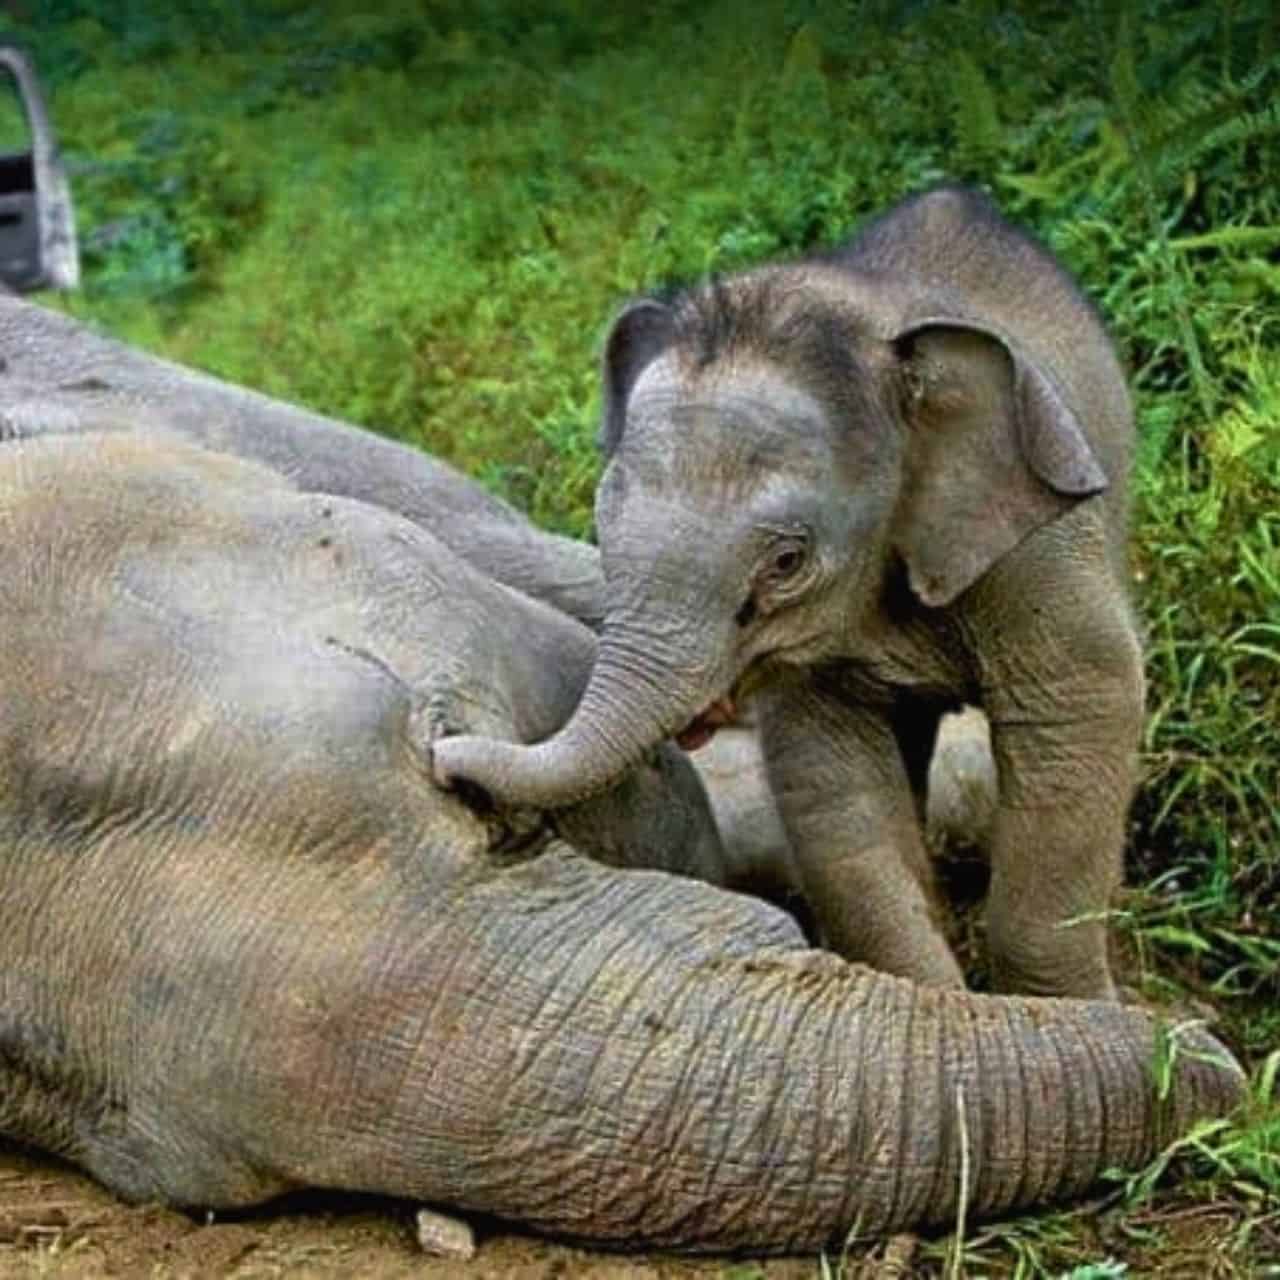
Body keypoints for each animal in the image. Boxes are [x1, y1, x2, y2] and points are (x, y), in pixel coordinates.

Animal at [433, 186, 1145, 1001]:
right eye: (599, 522)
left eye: (786, 561)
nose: (444, 757)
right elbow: (830, 777)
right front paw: (934, 999)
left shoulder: (1039, 545)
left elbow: (1082, 708)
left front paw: (1073, 1009)